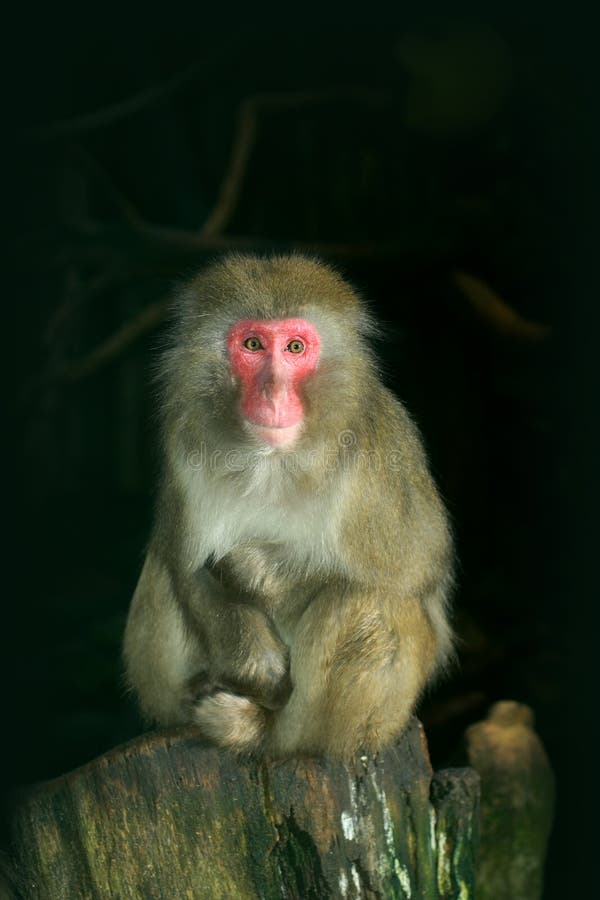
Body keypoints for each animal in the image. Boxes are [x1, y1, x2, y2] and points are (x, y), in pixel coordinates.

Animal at [123, 253, 454, 760]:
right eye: (253, 345)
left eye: (296, 348)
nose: (273, 392)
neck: (273, 460)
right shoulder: (183, 449)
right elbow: (183, 564)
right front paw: (258, 666)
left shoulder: (380, 457)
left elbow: (412, 568)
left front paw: (253, 568)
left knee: (369, 603)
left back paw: (262, 734)